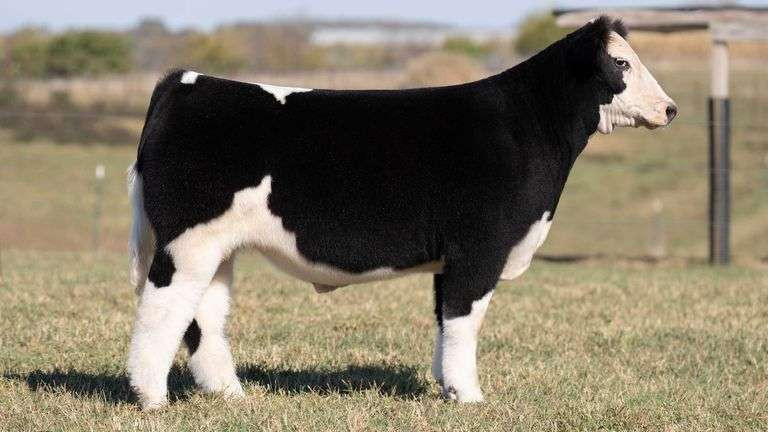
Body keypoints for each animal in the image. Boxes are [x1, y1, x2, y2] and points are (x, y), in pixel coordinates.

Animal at [126, 16, 676, 409]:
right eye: (621, 64)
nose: (670, 109)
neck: (529, 128)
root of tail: (186, 81)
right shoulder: (480, 249)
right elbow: (464, 320)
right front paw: (470, 398)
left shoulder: (452, 257)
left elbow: (444, 319)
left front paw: (448, 389)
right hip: (187, 242)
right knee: (161, 310)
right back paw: (152, 399)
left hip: (217, 249)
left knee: (204, 317)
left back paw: (229, 394)